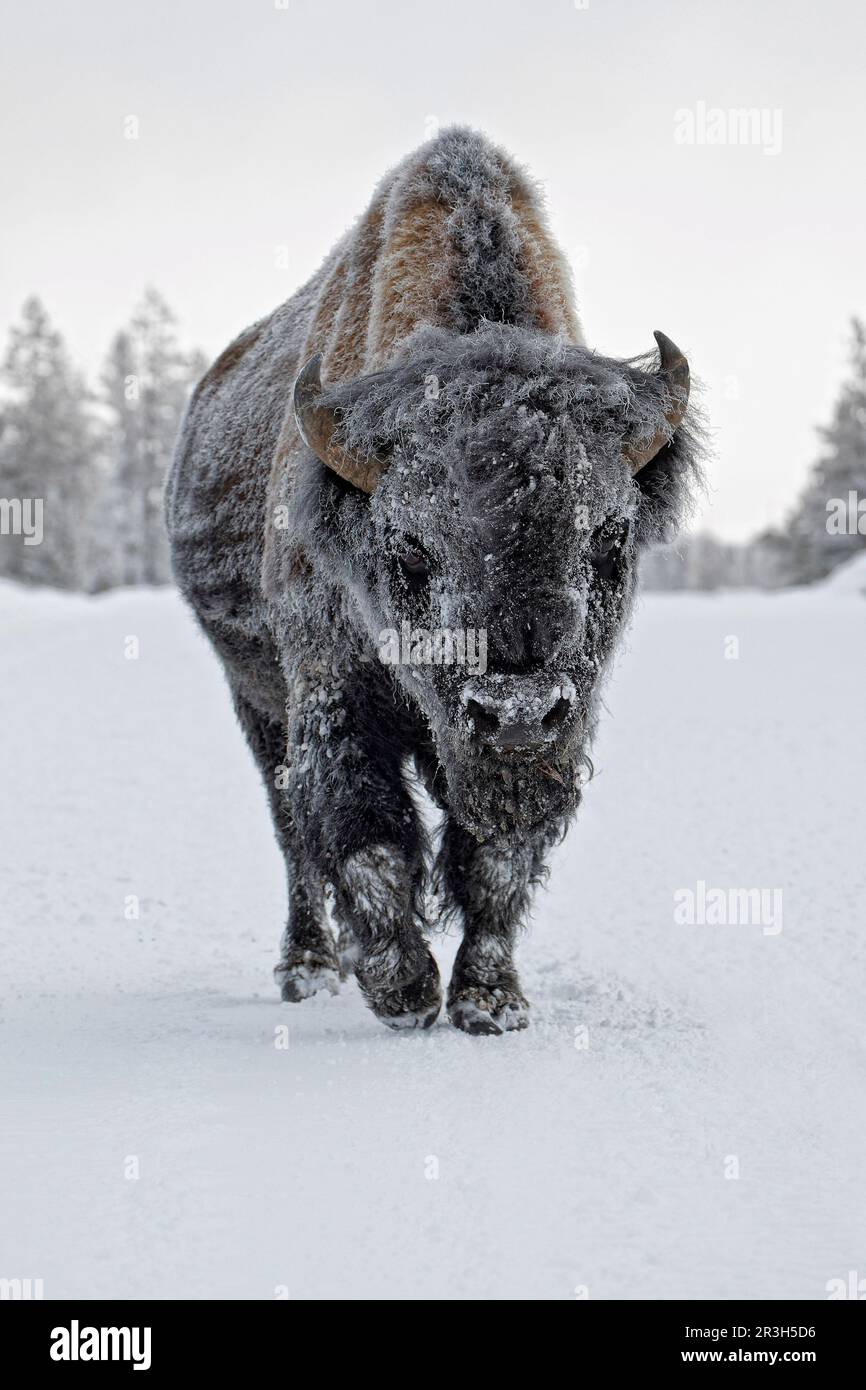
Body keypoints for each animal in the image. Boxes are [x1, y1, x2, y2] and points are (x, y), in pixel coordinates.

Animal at [165, 127, 702, 1035]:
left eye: (611, 540)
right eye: (410, 551)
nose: (517, 711)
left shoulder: (548, 740)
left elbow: (496, 857)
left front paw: (491, 1001)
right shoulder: (331, 693)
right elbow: (366, 834)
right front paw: (405, 990)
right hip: (256, 700)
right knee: (292, 832)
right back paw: (310, 967)